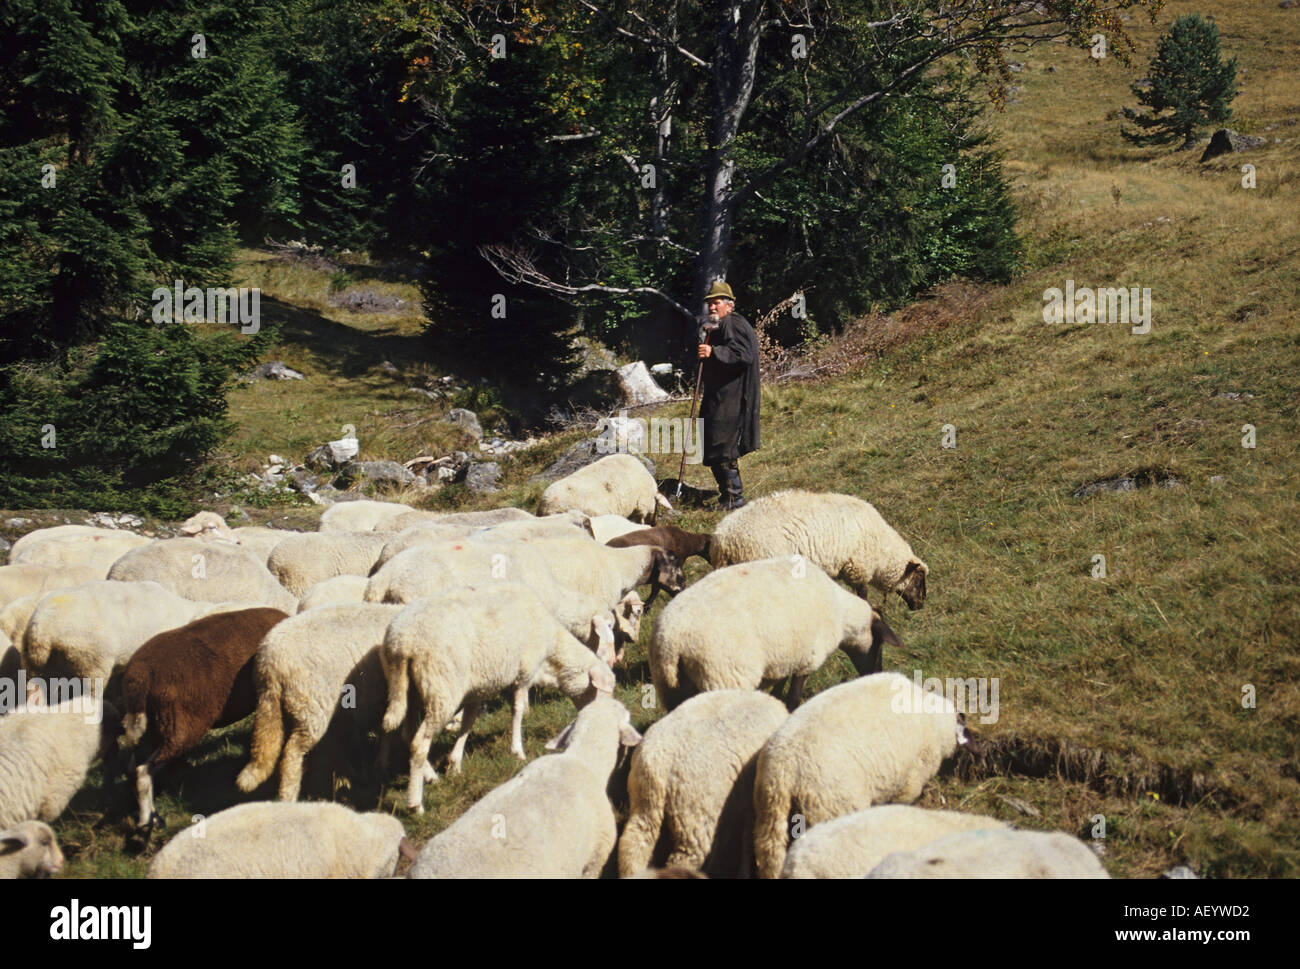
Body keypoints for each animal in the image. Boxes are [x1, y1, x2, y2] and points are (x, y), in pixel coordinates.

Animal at [119, 607, 289, 834]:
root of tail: (139, 678)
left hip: (155, 725)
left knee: (133, 766)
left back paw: (150, 818)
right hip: (180, 724)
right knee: (144, 769)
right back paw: (148, 820)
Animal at [236, 603, 407, 802]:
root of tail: (270, 665)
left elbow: (386, 731)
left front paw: (380, 765)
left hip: (277, 706)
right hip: (310, 706)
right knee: (291, 754)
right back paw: (290, 796)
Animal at [379, 585, 617, 812]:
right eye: (604, 691)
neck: (551, 657)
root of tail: (402, 642)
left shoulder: (477, 688)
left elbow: (468, 723)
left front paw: (455, 764)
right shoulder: (524, 672)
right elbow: (517, 710)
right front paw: (517, 750)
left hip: (409, 689)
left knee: (409, 734)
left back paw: (430, 776)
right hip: (442, 689)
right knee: (420, 742)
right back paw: (415, 803)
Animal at [649, 559, 901, 712]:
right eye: (879, 645)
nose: (877, 672)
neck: (842, 614)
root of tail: (672, 643)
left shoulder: (786, 656)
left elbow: (779, 687)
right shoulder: (808, 658)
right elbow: (793, 696)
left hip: (670, 686)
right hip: (723, 676)